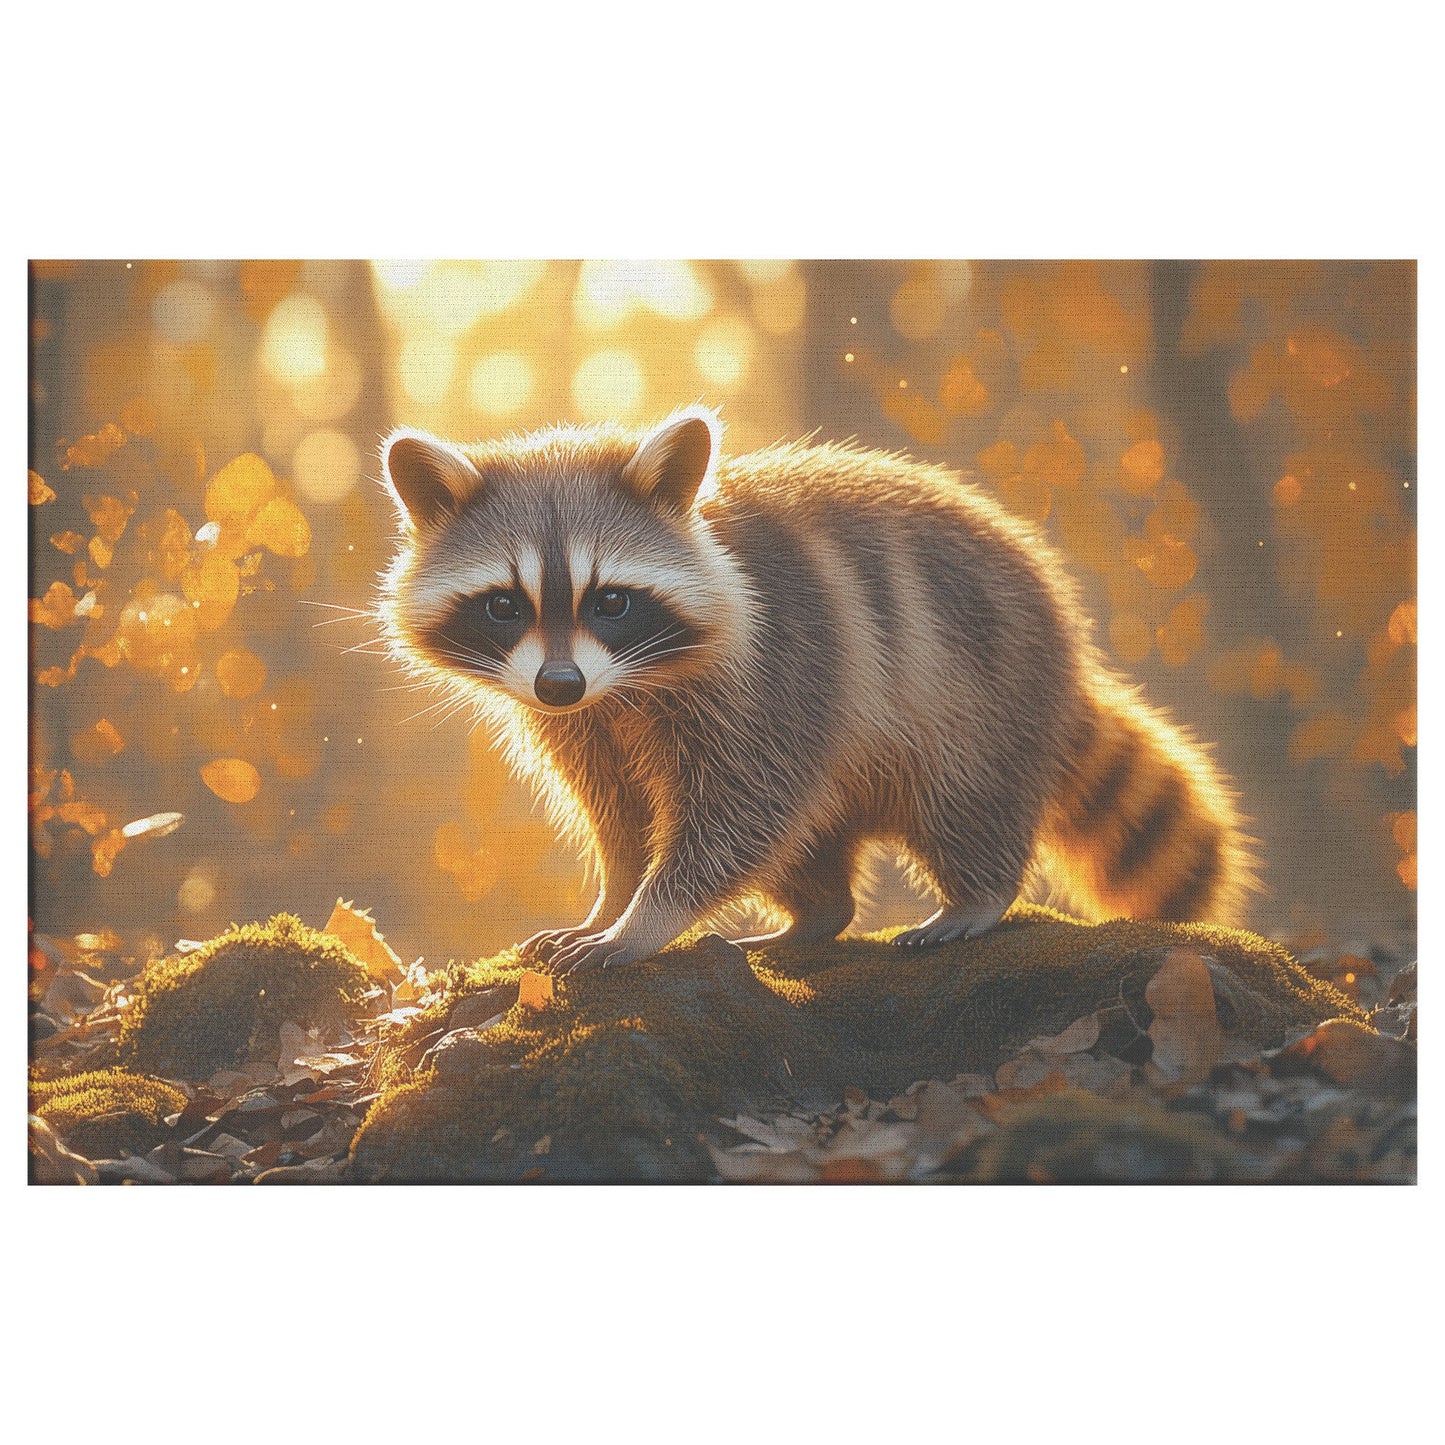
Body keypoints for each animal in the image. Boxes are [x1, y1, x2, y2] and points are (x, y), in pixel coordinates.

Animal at [378, 407, 1255, 975]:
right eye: (503, 604)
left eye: (611, 600)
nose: (559, 683)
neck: (626, 686)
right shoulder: (585, 722)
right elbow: (618, 814)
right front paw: (613, 896)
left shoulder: (779, 667)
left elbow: (737, 811)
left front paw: (646, 918)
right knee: (806, 840)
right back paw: (815, 916)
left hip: (981, 684)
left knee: (959, 795)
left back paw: (976, 893)